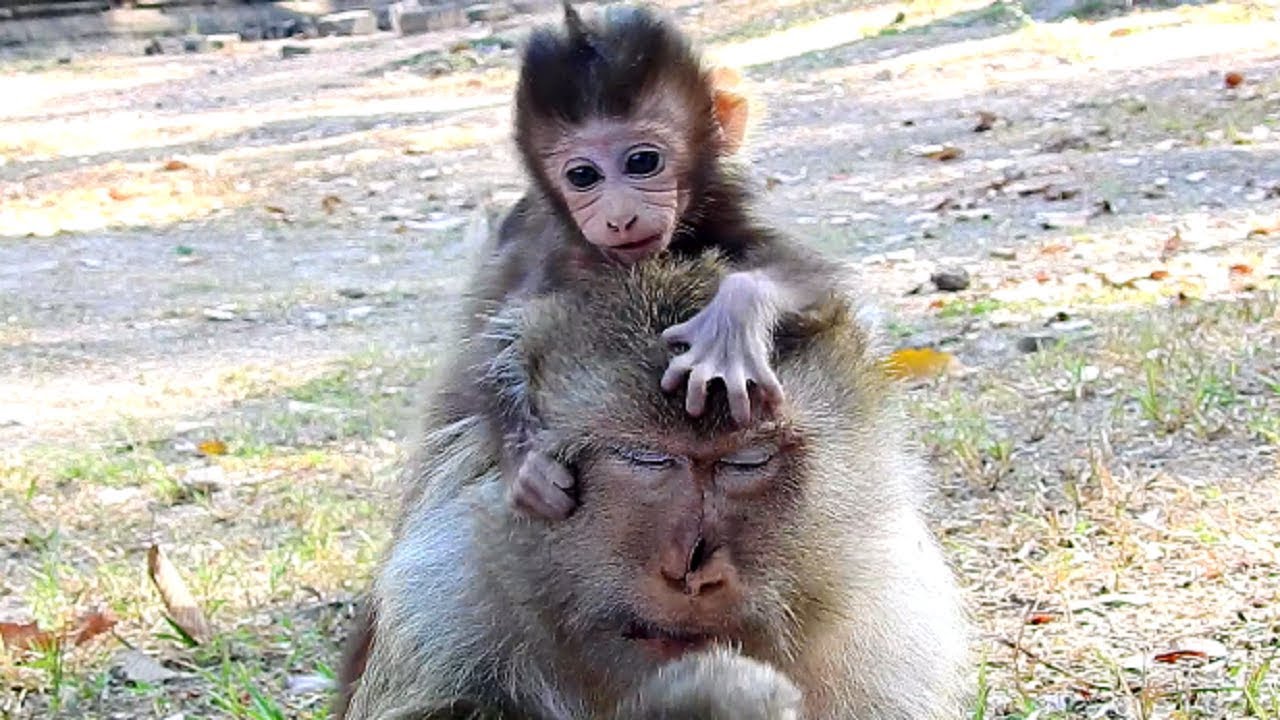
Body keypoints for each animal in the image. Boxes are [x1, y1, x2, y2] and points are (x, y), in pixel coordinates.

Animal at [446, 1, 846, 522]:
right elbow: (488, 339)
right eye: (582, 176)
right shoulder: (548, 243)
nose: (619, 218)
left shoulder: (725, 198)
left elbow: (815, 275)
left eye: (641, 162)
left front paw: (730, 322)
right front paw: (523, 461)